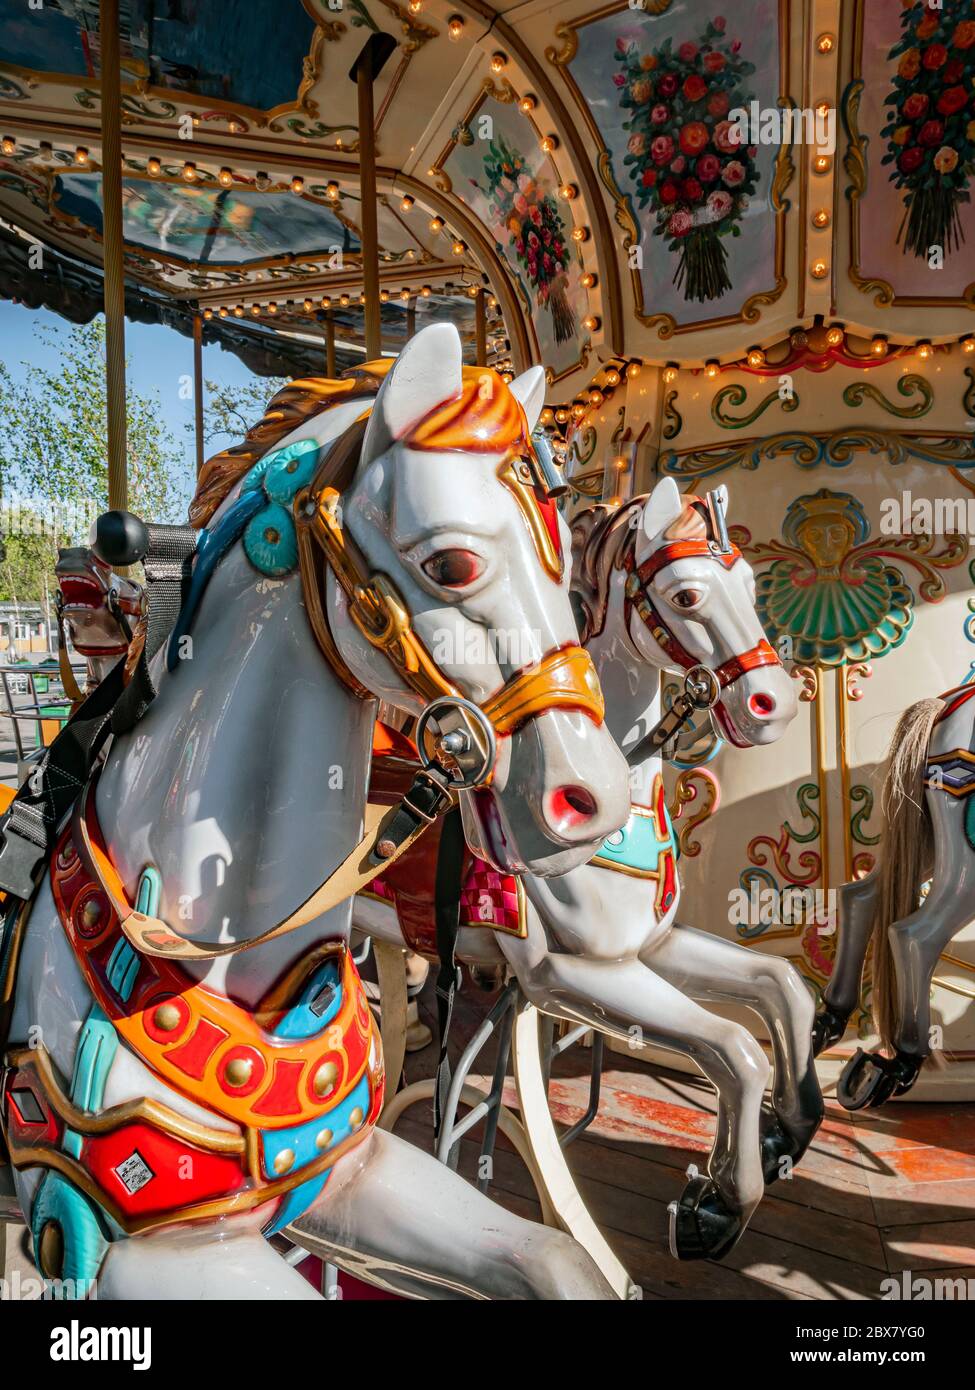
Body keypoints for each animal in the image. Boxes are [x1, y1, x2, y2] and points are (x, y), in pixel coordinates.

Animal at [0, 322, 634, 1300]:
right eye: (452, 561)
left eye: (565, 553)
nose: (589, 800)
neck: (195, 939)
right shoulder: (132, 1248)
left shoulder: (349, 1166)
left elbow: (555, 1259)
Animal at [354, 476, 824, 1262]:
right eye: (686, 595)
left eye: (752, 583)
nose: (776, 705)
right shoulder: (568, 976)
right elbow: (736, 1049)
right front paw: (714, 1208)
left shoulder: (648, 947)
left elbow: (782, 987)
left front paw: (785, 1134)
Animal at [813, 688, 975, 1109]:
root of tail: (946, 708)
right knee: (915, 935)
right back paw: (901, 1063)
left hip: (926, 838)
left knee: (861, 896)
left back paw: (829, 1020)